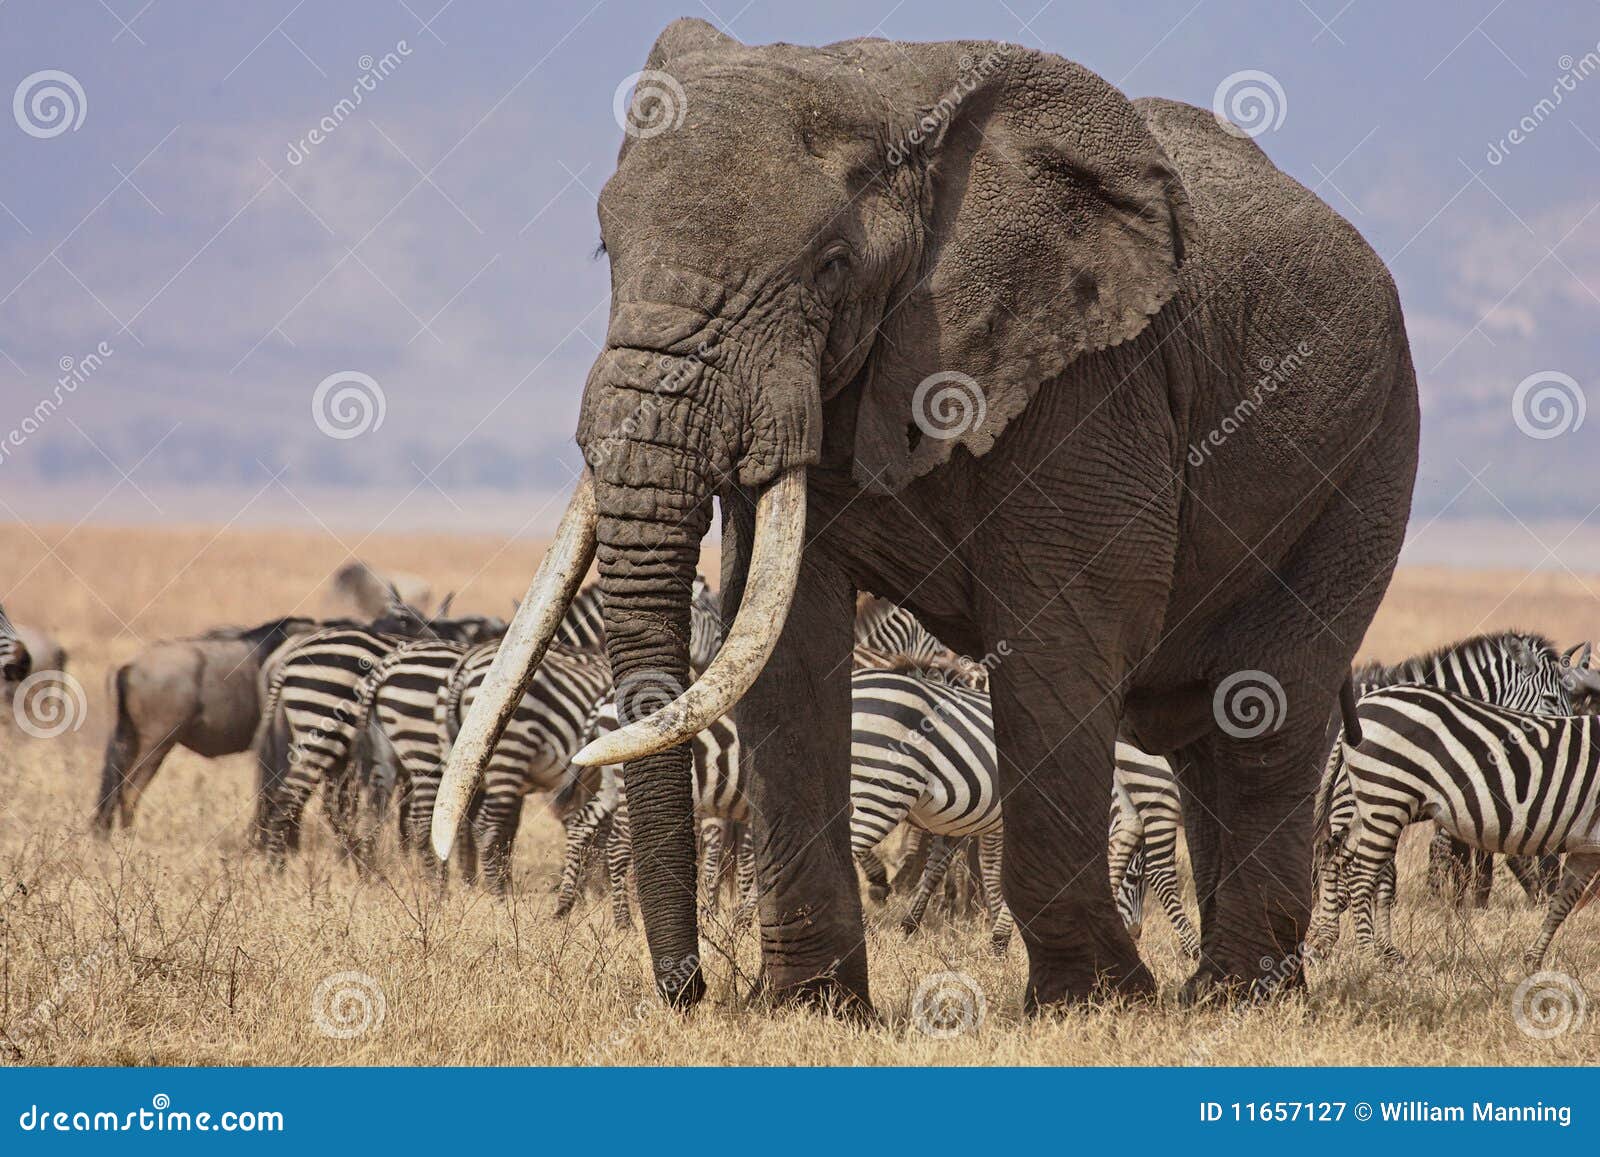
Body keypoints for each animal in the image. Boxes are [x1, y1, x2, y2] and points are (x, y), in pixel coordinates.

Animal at [432, 22, 1419, 1014]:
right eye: (604, 248)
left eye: (831, 265)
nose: (691, 992)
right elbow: (785, 641)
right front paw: (812, 1006)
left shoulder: (1090, 380)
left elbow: (1062, 634)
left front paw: (1099, 1001)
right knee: (1200, 733)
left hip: (1368, 450)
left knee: (1265, 713)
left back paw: (1233, 995)